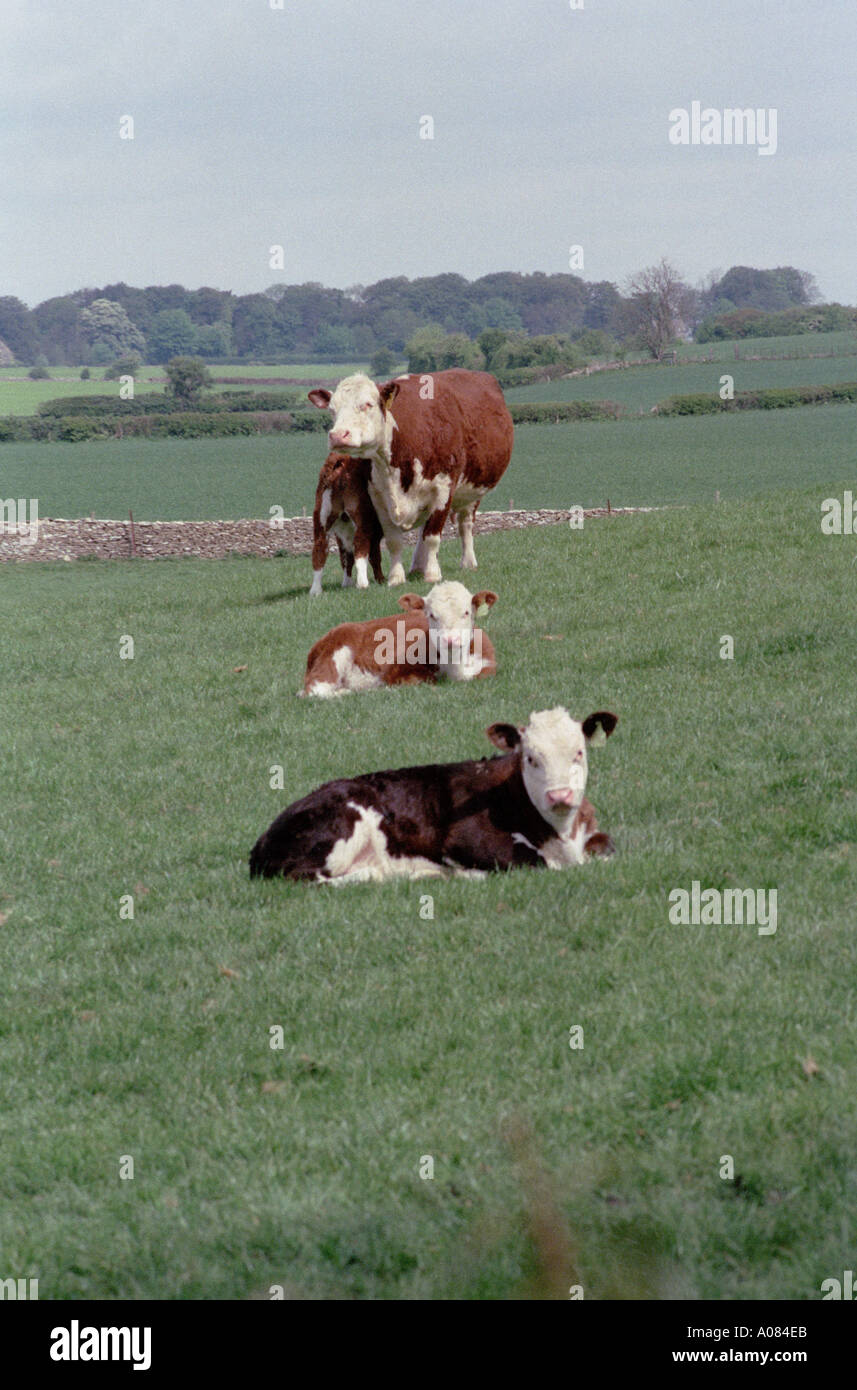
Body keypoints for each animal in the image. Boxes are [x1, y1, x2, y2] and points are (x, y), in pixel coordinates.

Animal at [248, 706, 617, 882]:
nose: (560, 796)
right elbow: (536, 862)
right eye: (531, 758)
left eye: (579, 752)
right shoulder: (462, 839)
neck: (560, 835)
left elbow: (607, 847)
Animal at [301, 581, 498, 697]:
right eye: (431, 615)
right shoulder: (396, 672)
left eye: (466, 612)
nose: (450, 640)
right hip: (333, 658)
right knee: (314, 691)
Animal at [309, 453, 384, 596]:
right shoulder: (376, 532)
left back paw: (315, 590)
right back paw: (362, 584)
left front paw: (346, 583)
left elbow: (345, 557)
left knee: (319, 550)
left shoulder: (341, 535)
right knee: (361, 546)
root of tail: (342, 461)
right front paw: (380, 580)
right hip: (362, 518)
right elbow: (375, 556)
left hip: (321, 520)